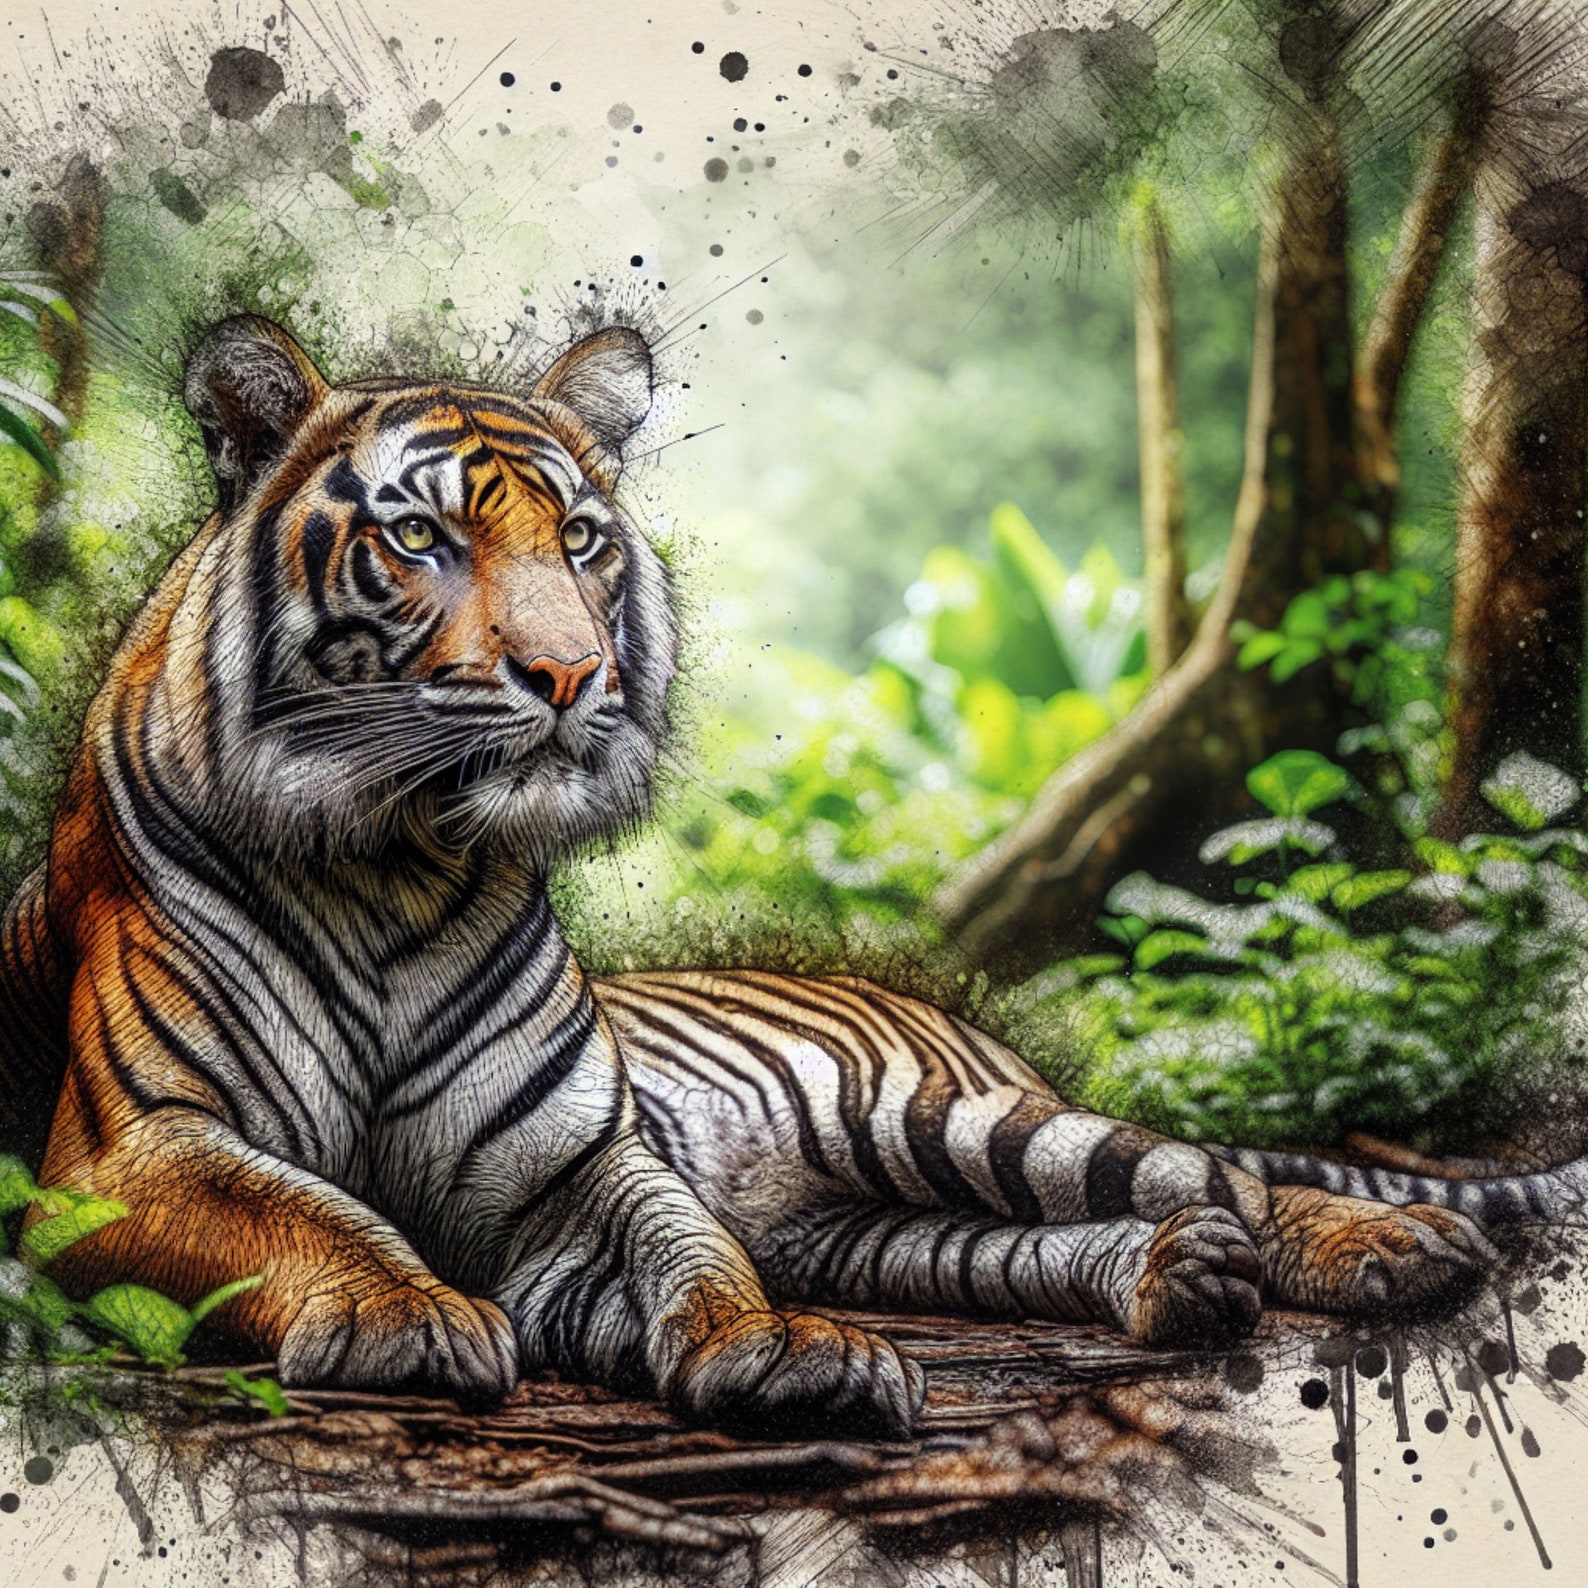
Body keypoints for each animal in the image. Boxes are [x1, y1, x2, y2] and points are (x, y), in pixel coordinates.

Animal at [0, 314, 1571, 1437]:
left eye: (579, 536)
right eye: (421, 535)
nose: (570, 673)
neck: (403, 863)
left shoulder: (583, 1169)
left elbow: (691, 1254)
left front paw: (776, 1351)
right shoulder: (131, 1154)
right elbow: (309, 1212)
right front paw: (412, 1315)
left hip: (929, 1114)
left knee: (1201, 1167)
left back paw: (1392, 1243)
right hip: (879, 1226)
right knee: (1077, 1229)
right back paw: (1181, 1278)